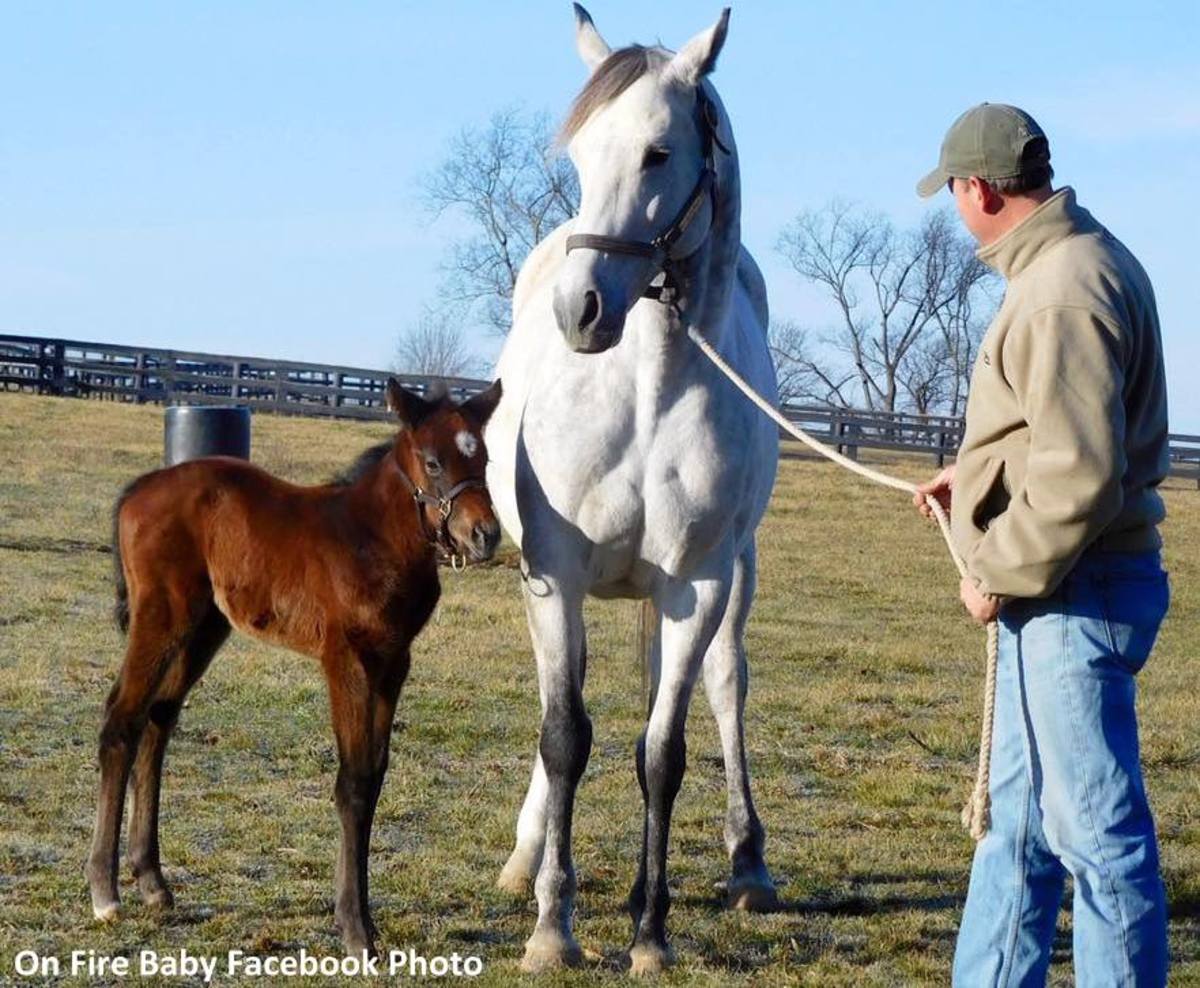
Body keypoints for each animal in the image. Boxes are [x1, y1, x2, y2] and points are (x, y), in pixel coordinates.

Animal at [85, 378, 502, 956]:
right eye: (433, 461)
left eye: (483, 458)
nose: (485, 535)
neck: (371, 539)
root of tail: (141, 487)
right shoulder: (347, 661)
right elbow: (353, 783)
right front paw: (355, 930)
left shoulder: (393, 664)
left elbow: (374, 777)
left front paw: (365, 922)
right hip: (160, 616)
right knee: (121, 721)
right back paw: (105, 893)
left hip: (203, 628)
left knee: (157, 721)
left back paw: (152, 882)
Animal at [484, 6, 779, 973]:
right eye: (579, 155)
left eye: (658, 152)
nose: (578, 309)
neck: (646, 391)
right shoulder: (555, 576)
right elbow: (564, 735)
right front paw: (552, 925)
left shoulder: (696, 584)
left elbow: (662, 752)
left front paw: (651, 933)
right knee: (561, 711)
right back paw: (526, 856)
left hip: (729, 581)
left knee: (722, 685)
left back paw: (747, 861)